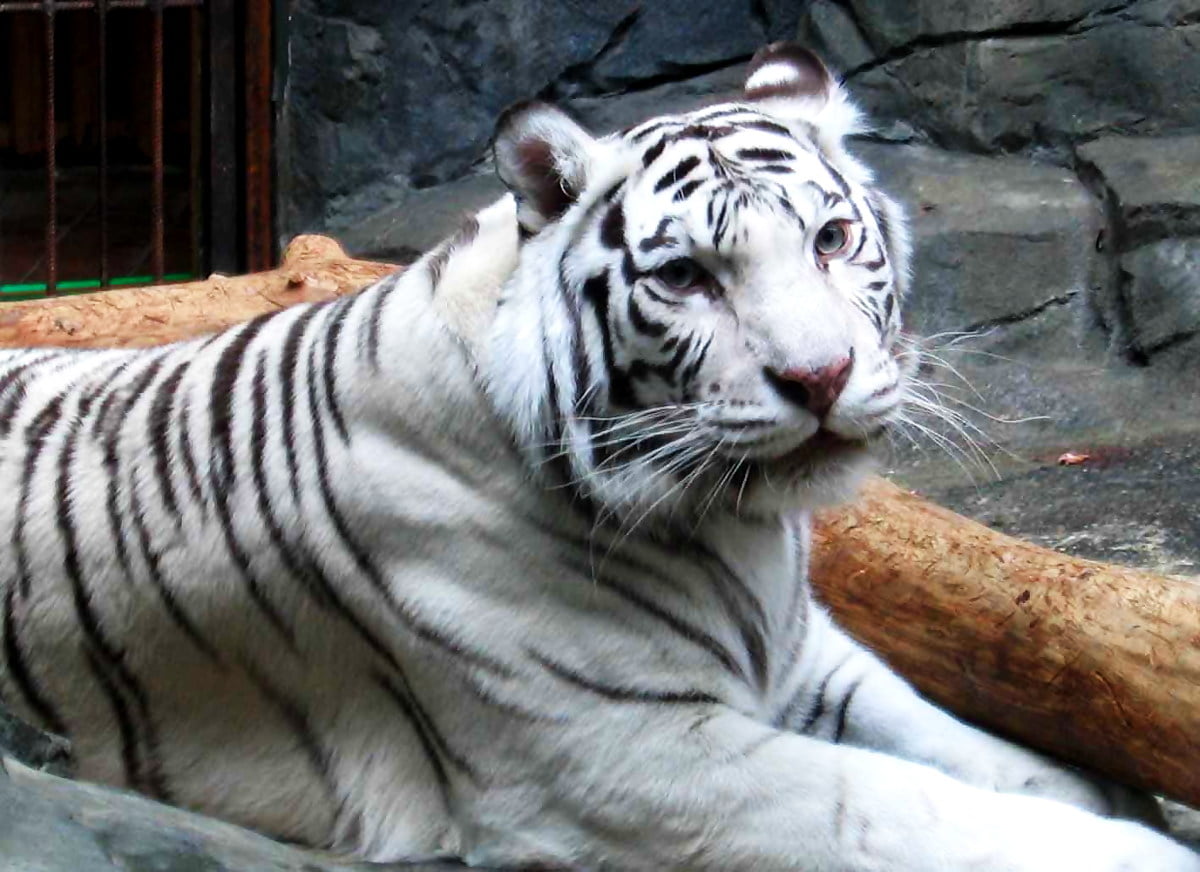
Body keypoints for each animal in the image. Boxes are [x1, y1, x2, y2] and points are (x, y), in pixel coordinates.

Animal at [0, 42, 1194, 871]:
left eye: (832, 238)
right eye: (687, 276)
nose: (820, 378)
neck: (739, 529)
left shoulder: (802, 655)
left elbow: (975, 751)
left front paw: (1105, 790)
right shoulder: (621, 761)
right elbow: (902, 809)